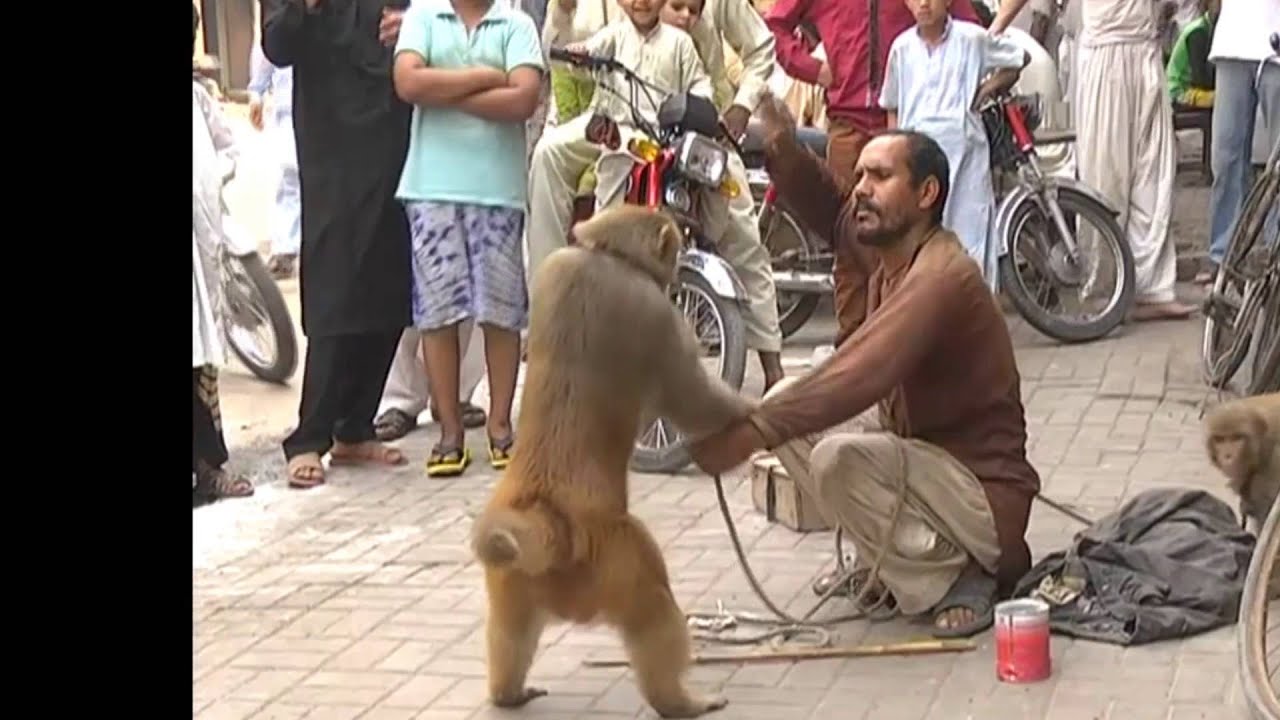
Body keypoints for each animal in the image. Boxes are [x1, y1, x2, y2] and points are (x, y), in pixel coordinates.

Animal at [469, 205, 752, 718]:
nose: (675, 269)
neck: (606, 254)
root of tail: (551, 518)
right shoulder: (654, 311)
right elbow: (689, 398)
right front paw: (743, 410)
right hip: (620, 556)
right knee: (654, 613)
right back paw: (682, 701)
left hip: (511, 573)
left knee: (509, 633)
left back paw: (508, 691)